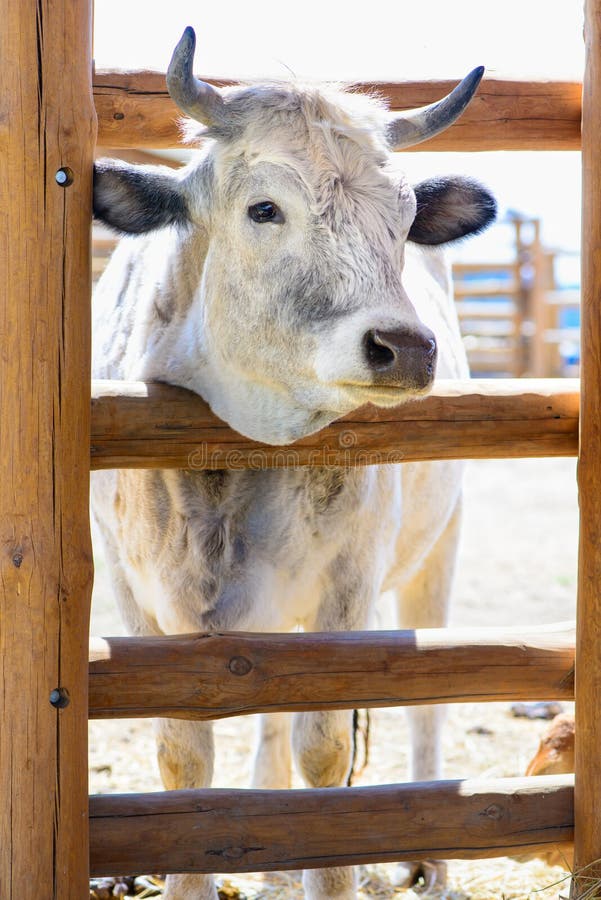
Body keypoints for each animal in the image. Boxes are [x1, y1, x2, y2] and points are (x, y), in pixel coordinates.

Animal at [91, 27, 496, 900]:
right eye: (264, 208)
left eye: (403, 220)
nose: (404, 346)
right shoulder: (134, 592)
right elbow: (183, 753)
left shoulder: (348, 584)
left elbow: (325, 748)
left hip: (437, 548)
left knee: (427, 705)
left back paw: (429, 863)